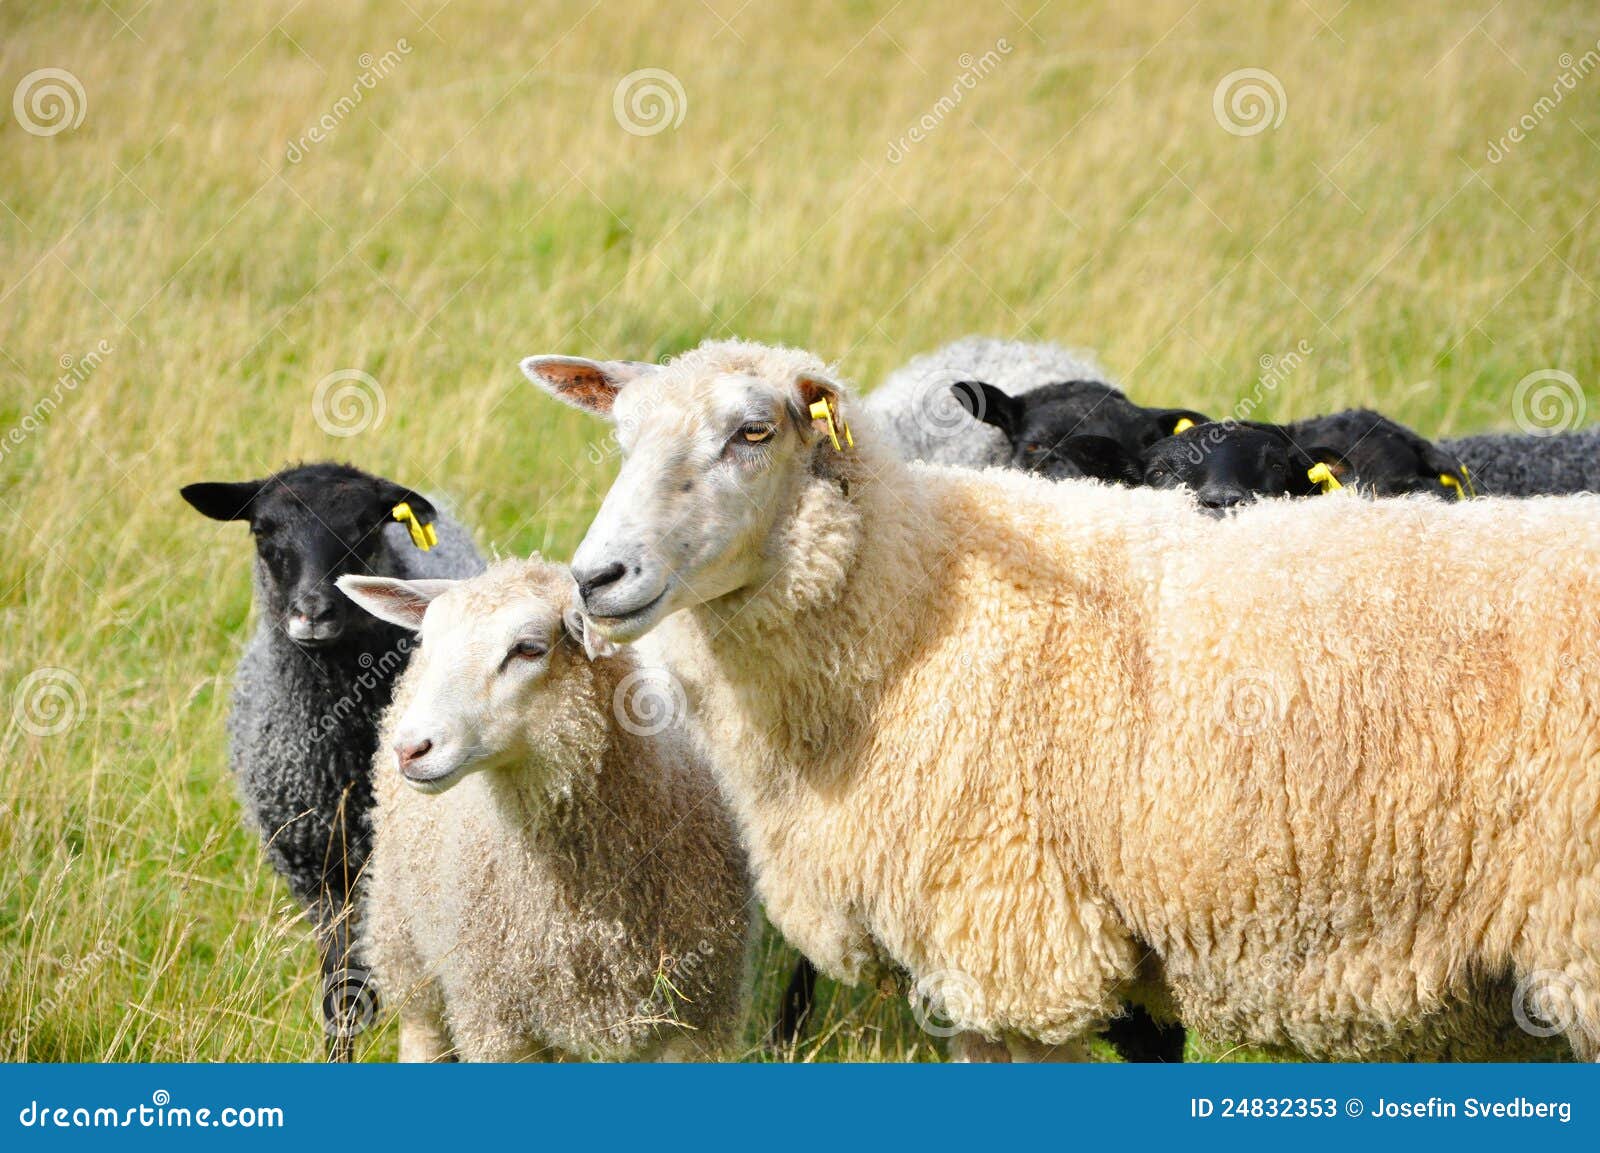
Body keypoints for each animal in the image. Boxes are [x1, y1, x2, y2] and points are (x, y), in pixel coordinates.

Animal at [338, 558, 753, 1062]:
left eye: (528, 649)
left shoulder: (702, 1018)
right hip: (402, 932)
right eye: (429, 642)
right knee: (422, 1027)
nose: (411, 749)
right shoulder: (497, 1022)